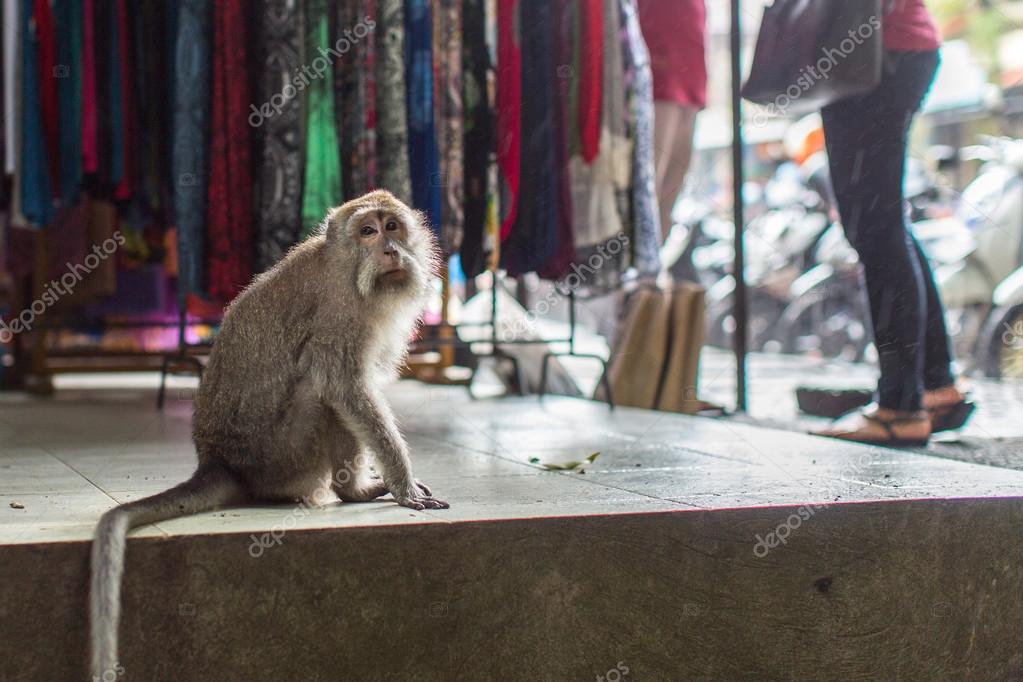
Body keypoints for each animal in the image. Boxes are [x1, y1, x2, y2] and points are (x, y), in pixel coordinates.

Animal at [89, 190, 448, 680]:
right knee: (319, 386)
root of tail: (217, 459)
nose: (390, 250)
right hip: (284, 456)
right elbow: (345, 389)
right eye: (368, 231)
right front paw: (403, 486)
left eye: (391, 226)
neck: (348, 271)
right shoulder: (339, 318)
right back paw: (355, 492)